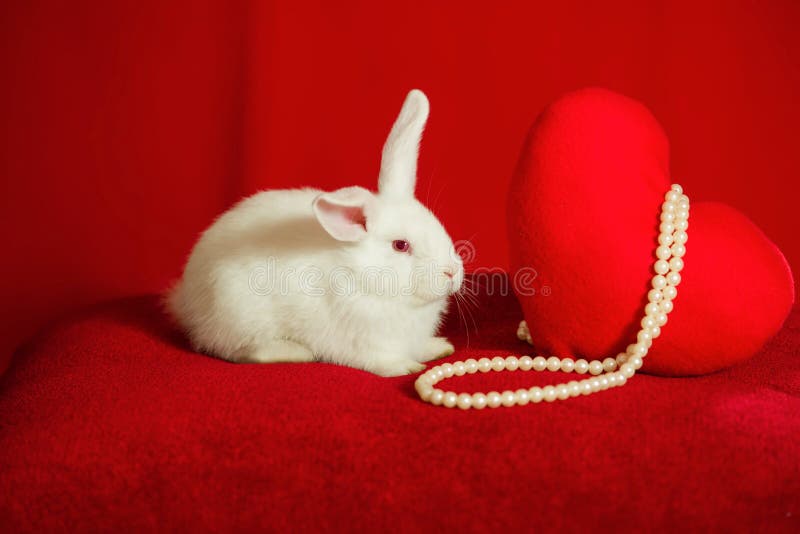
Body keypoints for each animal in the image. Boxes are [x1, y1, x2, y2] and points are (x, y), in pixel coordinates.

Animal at [167, 89, 464, 376]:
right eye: (401, 245)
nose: (451, 272)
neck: (360, 273)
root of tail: (186, 299)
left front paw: (437, 347)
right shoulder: (358, 340)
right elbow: (377, 360)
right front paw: (405, 366)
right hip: (234, 313)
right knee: (235, 349)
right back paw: (293, 352)